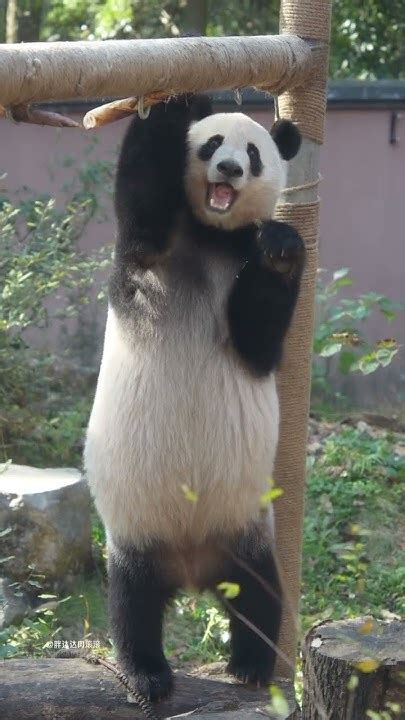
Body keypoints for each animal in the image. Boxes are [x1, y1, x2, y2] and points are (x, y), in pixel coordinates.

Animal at [84, 94, 305, 702]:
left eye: (252, 153)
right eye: (211, 144)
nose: (227, 169)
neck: (211, 233)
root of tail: (191, 567)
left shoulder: (240, 262)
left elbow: (259, 341)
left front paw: (283, 248)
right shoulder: (148, 257)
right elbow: (141, 201)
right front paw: (178, 99)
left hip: (245, 530)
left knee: (261, 594)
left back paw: (251, 664)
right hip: (138, 529)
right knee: (131, 604)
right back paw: (147, 676)